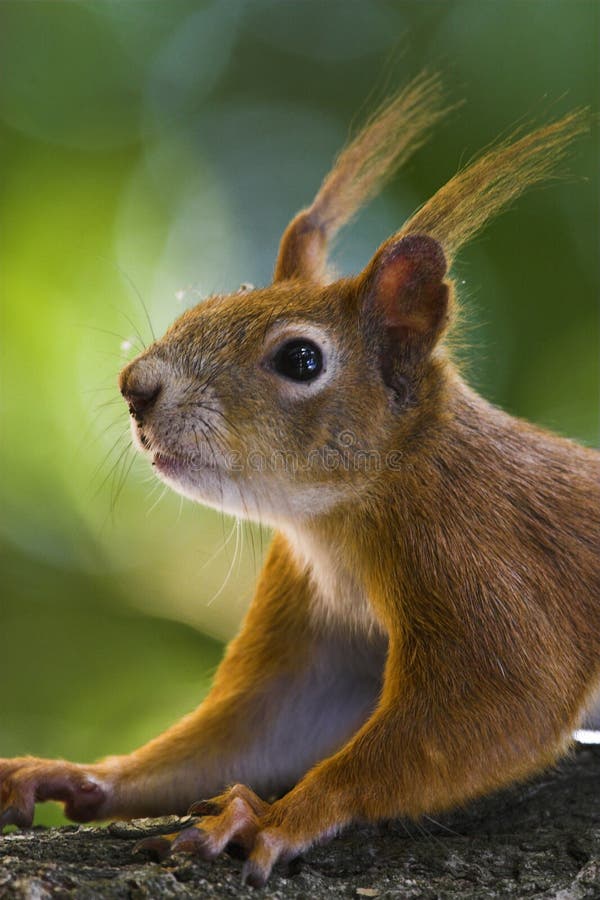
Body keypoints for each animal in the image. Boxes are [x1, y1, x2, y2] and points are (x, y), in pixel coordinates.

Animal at [1, 73, 598, 888]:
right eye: (205, 303)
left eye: (301, 359)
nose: (134, 387)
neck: (341, 521)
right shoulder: (313, 616)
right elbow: (255, 728)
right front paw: (75, 773)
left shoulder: (482, 552)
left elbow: (509, 697)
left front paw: (275, 817)